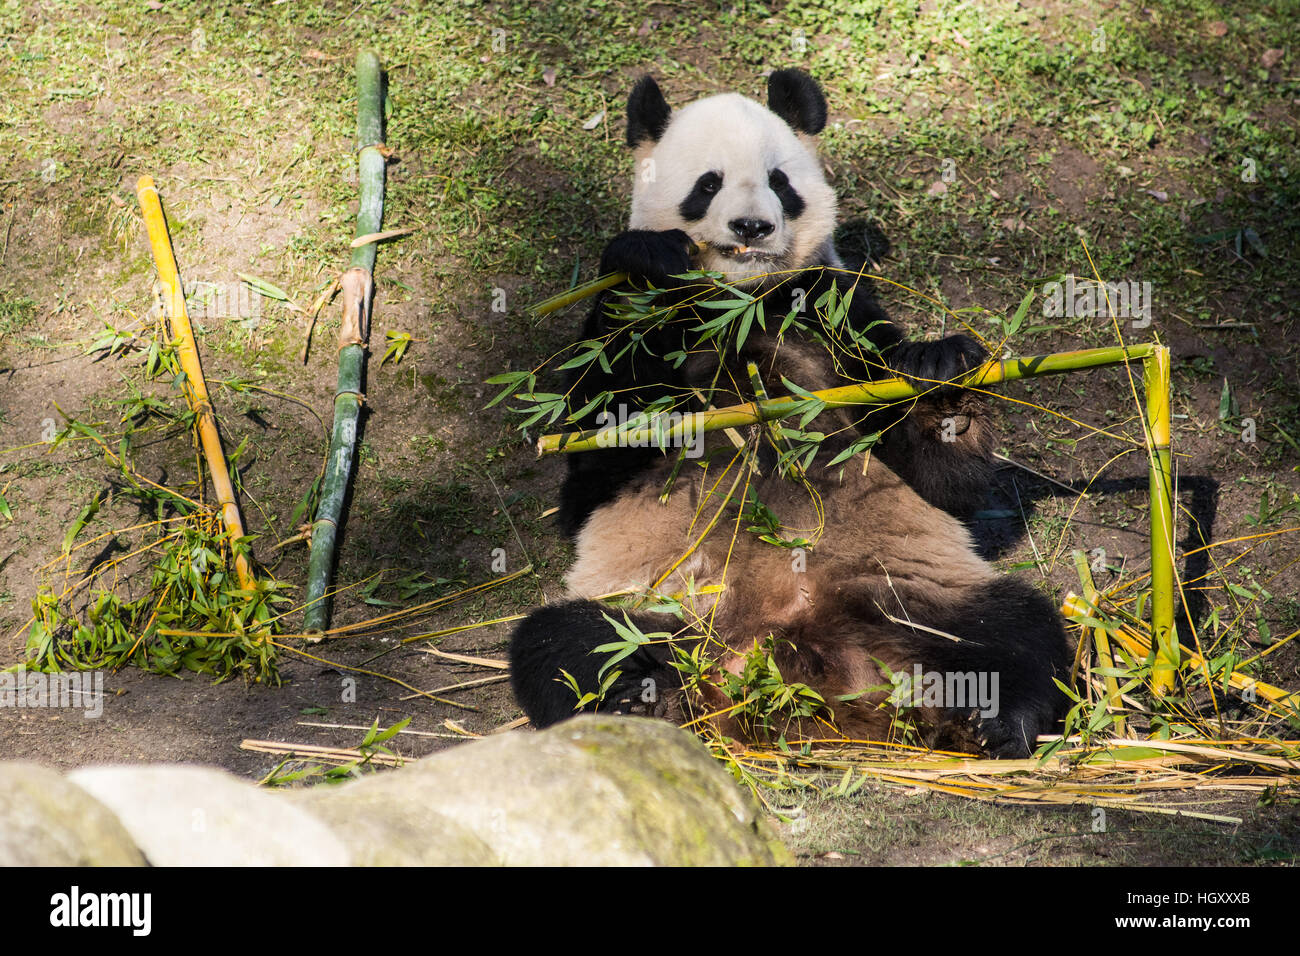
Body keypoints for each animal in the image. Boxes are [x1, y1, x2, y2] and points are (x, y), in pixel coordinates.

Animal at [509, 69, 1070, 757]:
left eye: (780, 181)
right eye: (708, 183)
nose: (751, 227)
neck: (744, 303)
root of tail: (791, 672)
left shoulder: (839, 318)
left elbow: (941, 484)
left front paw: (941, 379)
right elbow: (593, 460)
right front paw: (648, 260)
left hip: (912, 592)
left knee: (1015, 630)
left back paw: (991, 721)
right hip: (661, 609)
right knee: (569, 641)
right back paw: (643, 703)